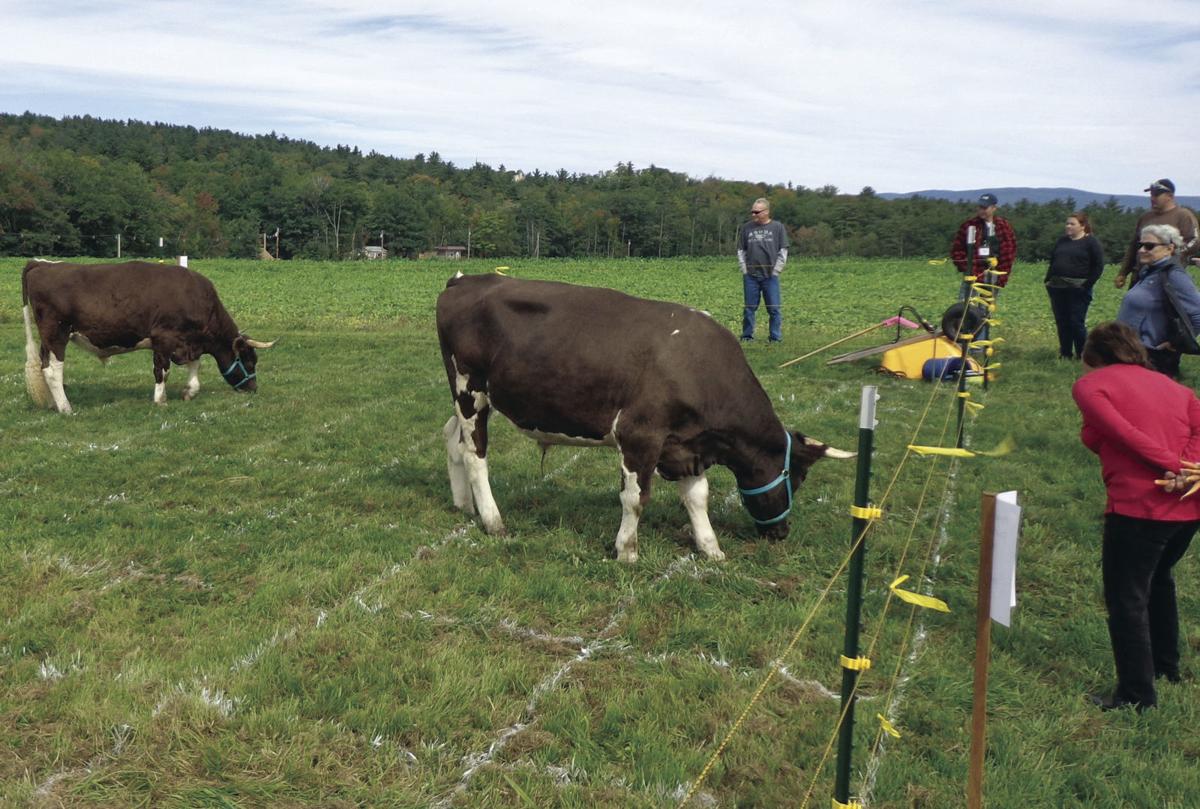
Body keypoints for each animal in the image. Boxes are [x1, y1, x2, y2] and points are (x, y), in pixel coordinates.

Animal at [22, 260, 275, 413]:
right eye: (249, 361)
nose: (253, 388)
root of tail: (42, 264)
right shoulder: (163, 338)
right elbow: (162, 370)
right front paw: (160, 400)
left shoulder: (190, 343)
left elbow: (195, 365)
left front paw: (189, 391)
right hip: (56, 334)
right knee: (53, 370)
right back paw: (66, 407)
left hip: (48, 339)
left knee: (44, 367)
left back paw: (54, 403)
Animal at [436, 273, 853, 563]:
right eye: (799, 478)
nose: (782, 533)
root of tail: (465, 280)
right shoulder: (640, 435)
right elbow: (635, 498)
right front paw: (627, 551)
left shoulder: (687, 446)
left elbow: (698, 498)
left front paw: (711, 548)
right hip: (470, 390)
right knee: (475, 454)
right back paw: (493, 520)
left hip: (467, 398)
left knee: (452, 439)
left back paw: (464, 505)